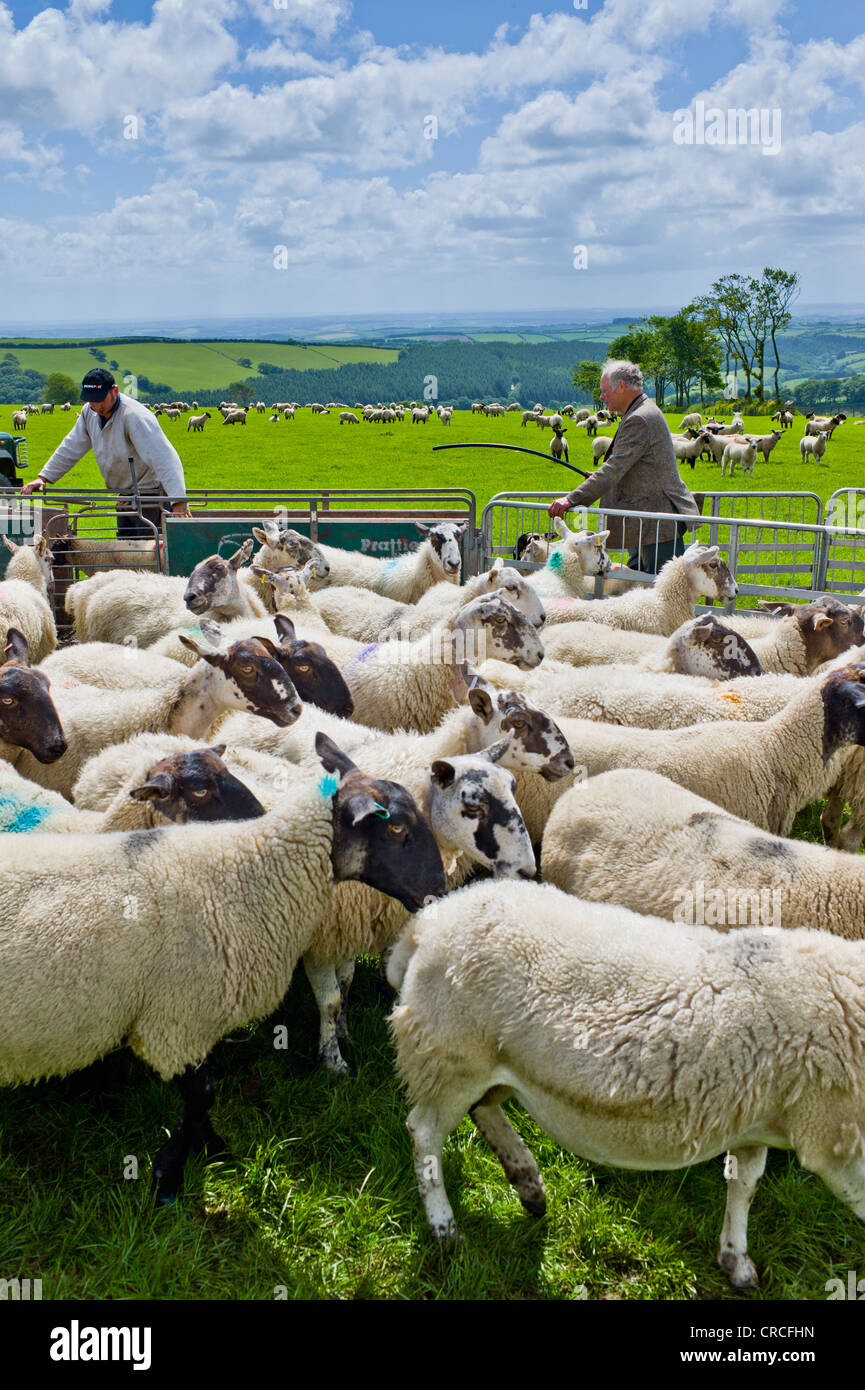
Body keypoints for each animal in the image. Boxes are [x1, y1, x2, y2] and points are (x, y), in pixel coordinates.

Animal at [0, 734, 445, 1201]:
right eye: (395, 828)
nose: (438, 888)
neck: (250, 873)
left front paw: (209, 1148)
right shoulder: (178, 1017)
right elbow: (203, 1097)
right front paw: (170, 1172)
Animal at [388, 877, 865, 1287]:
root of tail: (425, 924)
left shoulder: (759, 1115)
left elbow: (744, 1185)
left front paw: (735, 1258)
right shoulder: (832, 1135)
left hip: (496, 1061)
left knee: (483, 1107)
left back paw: (527, 1183)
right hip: (453, 1051)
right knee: (424, 1131)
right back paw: (445, 1227)